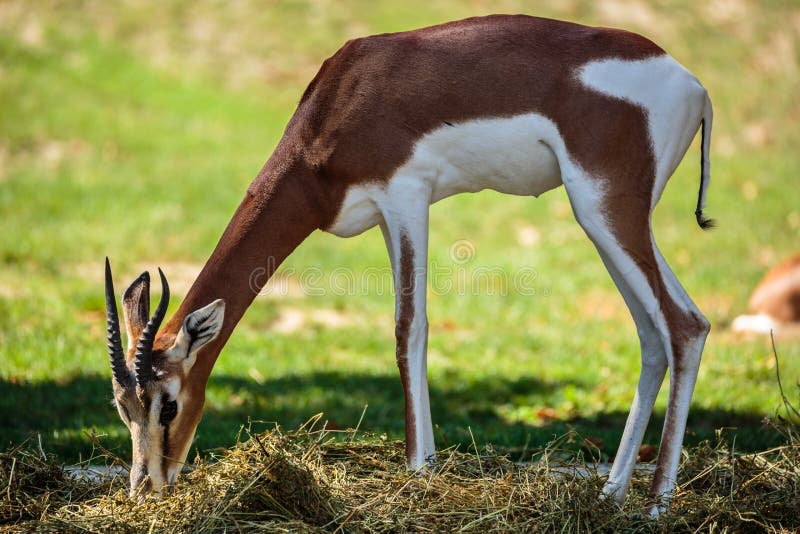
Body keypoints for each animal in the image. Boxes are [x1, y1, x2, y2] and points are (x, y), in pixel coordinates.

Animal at [103, 15, 713, 514]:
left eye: (167, 405)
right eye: (124, 407)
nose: (146, 488)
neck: (340, 102)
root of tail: (695, 85)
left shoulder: (406, 197)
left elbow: (408, 329)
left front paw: (419, 473)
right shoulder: (381, 214)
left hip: (603, 209)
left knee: (683, 324)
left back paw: (656, 503)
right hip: (610, 219)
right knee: (659, 332)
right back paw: (612, 494)